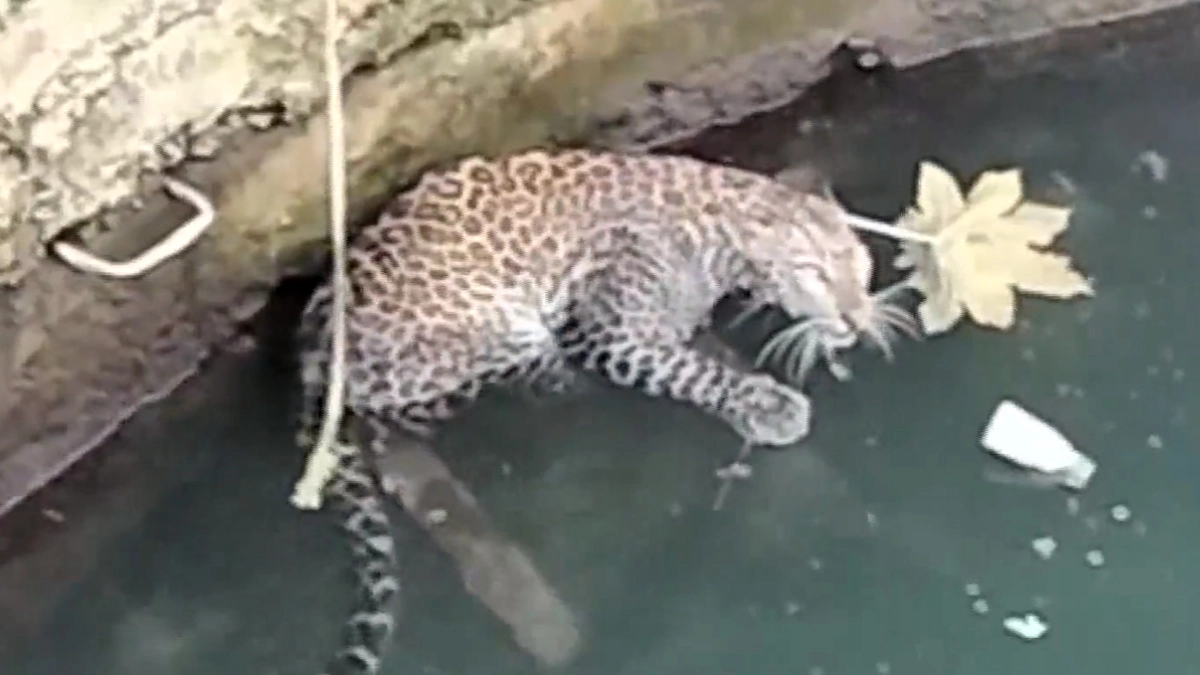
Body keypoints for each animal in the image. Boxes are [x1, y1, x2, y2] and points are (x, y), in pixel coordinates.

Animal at [292, 147, 915, 675]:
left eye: (856, 262)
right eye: (813, 272)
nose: (856, 320)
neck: (722, 227)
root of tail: (315, 344)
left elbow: (699, 347)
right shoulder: (603, 333)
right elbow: (687, 370)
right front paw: (767, 405)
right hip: (498, 331)